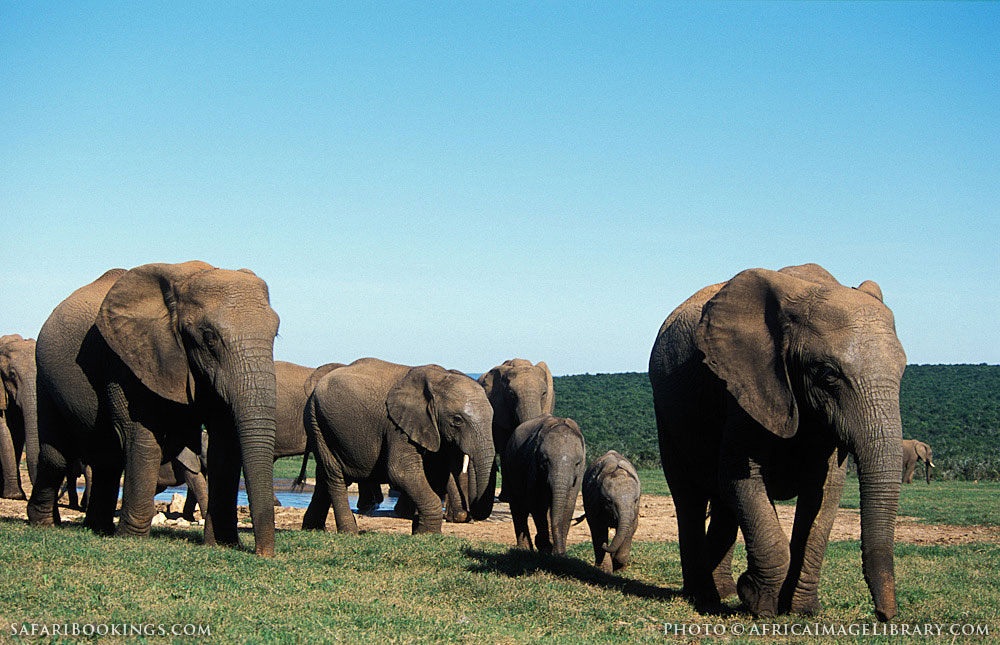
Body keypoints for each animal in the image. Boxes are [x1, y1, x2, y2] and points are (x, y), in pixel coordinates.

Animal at [27, 262, 281, 556]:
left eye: (275, 334)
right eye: (209, 338)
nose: (263, 554)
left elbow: (225, 443)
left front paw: (223, 544)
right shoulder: (129, 358)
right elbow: (144, 436)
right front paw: (133, 539)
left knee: (106, 457)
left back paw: (97, 528)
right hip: (45, 375)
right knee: (57, 454)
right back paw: (44, 523)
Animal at [301, 358, 495, 534]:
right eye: (457, 420)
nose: (469, 515)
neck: (439, 377)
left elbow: (436, 473)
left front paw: (419, 529)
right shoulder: (396, 426)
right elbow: (401, 472)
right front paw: (427, 534)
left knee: (324, 477)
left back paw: (312, 529)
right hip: (315, 420)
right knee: (335, 476)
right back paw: (349, 532)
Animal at [504, 414, 586, 555]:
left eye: (577, 463)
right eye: (545, 460)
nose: (561, 553)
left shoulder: (579, 475)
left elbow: (568, 505)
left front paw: (557, 552)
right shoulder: (533, 464)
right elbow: (536, 502)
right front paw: (546, 548)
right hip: (509, 466)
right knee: (518, 507)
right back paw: (524, 549)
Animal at [649, 263, 906, 621]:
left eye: (903, 371)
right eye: (828, 374)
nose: (884, 616)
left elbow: (825, 492)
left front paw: (801, 610)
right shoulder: (747, 385)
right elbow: (741, 477)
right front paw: (757, 602)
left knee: (723, 503)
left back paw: (722, 593)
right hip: (667, 412)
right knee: (689, 496)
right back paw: (702, 596)